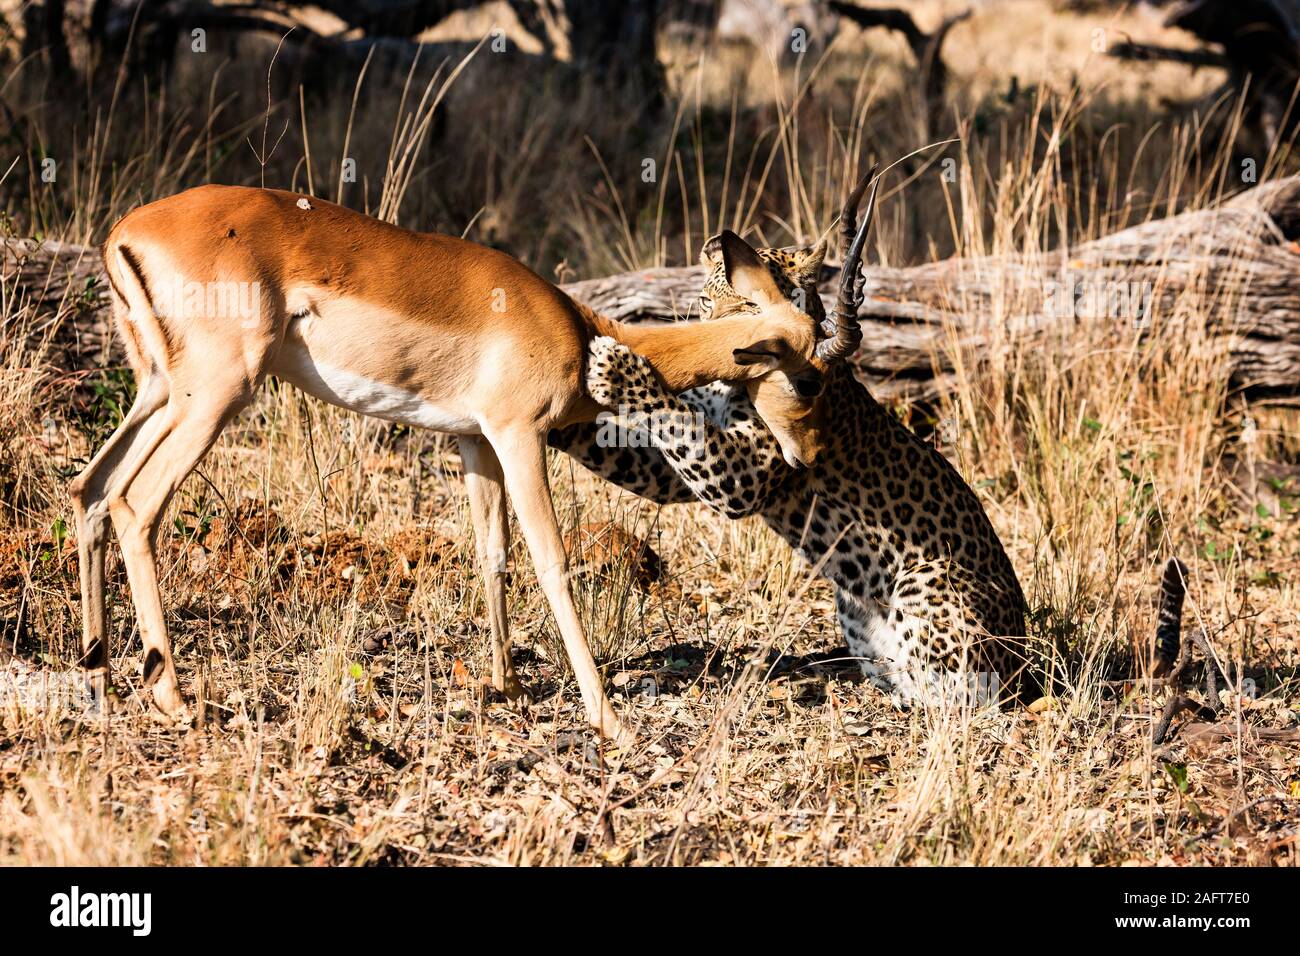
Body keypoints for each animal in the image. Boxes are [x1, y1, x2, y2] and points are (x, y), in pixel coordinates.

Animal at [549, 237, 1041, 707]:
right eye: (707, 301)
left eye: (750, 306)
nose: (718, 340)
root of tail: (1024, 658)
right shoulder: (674, 473)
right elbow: (647, 441)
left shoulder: (741, 472)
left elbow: (675, 416)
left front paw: (616, 367)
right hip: (854, 612)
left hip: (929, 579)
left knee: (967, 694)